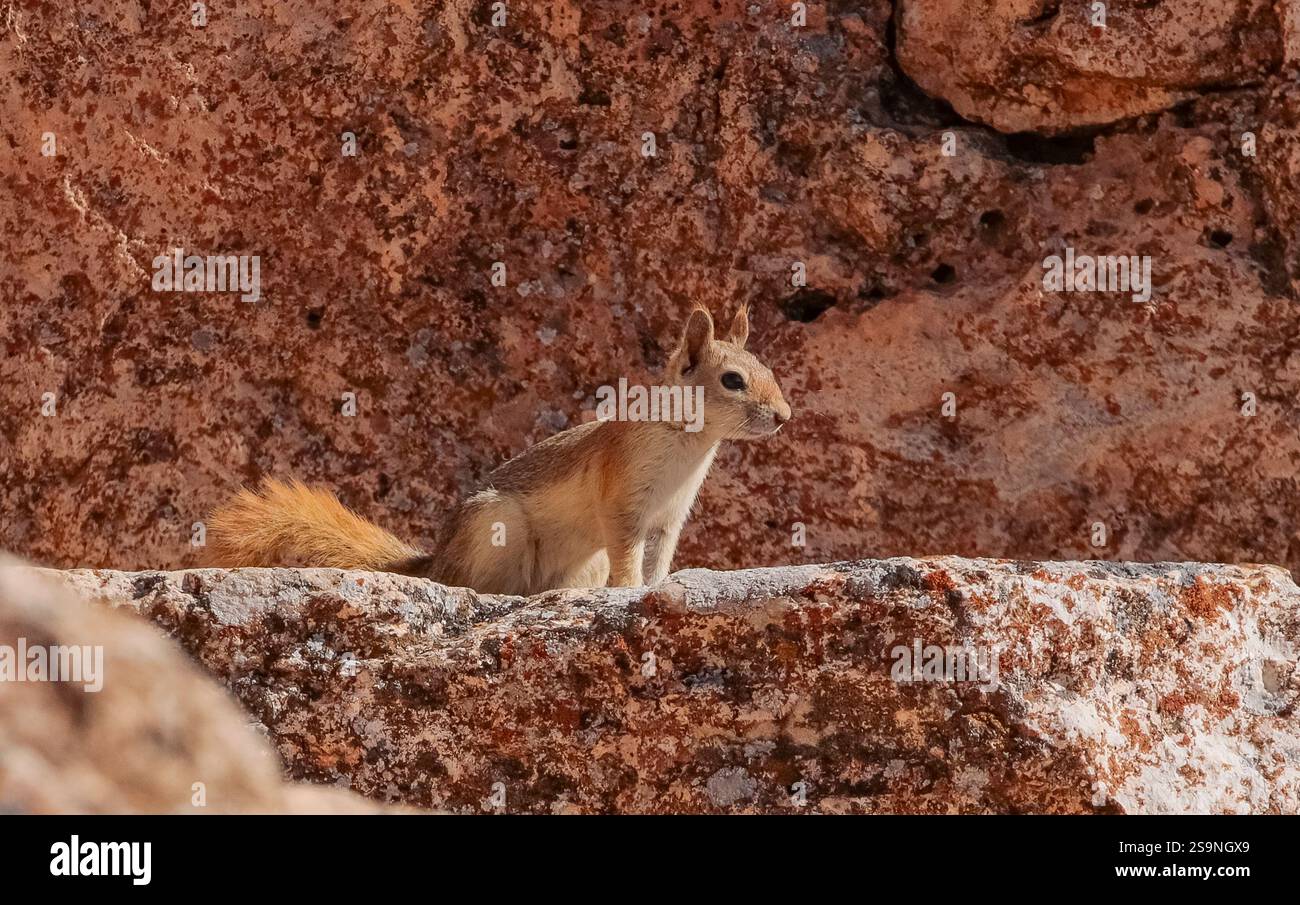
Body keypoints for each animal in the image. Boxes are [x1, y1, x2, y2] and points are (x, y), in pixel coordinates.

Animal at [207, 305, 791, 596]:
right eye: (733, 380)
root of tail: (435, 564)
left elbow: (660, 560)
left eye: (769, 366)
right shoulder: (622, 502)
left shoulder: (669, 518)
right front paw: (629, 591)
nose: (785, 416)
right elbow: (627, 554)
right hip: (498, 524)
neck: (689, 444)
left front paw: (661, 584)